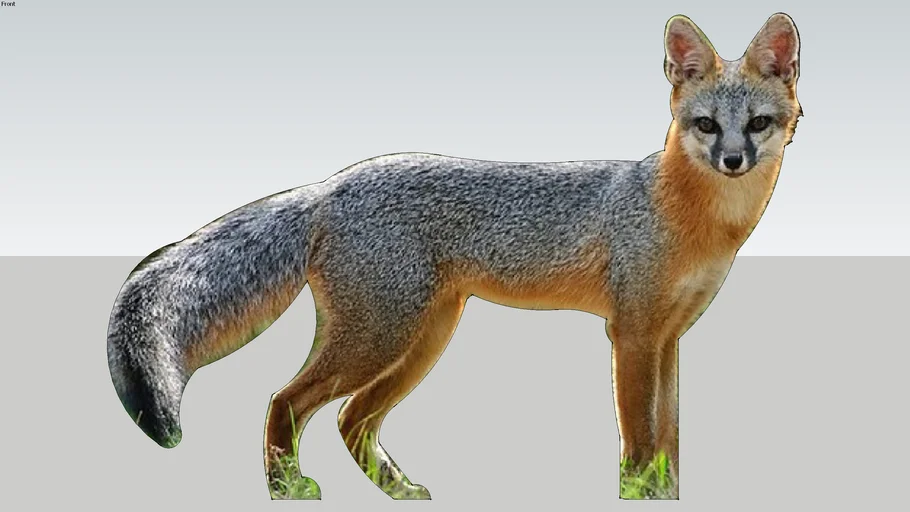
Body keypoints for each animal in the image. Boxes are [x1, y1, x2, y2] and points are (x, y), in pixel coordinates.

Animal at [107, 13, 801, 500]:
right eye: (707, 125)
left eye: (757, 124)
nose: (732, 160)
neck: (687, 216)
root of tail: (332, 182)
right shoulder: (631, 335)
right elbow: (640, 443)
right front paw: (638, 495)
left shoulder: (670, 339)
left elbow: (670, 447)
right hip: (382, 338)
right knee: (286, 402)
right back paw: (289, 491)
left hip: (421, 339)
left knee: (351, 421)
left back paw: (397, 490)